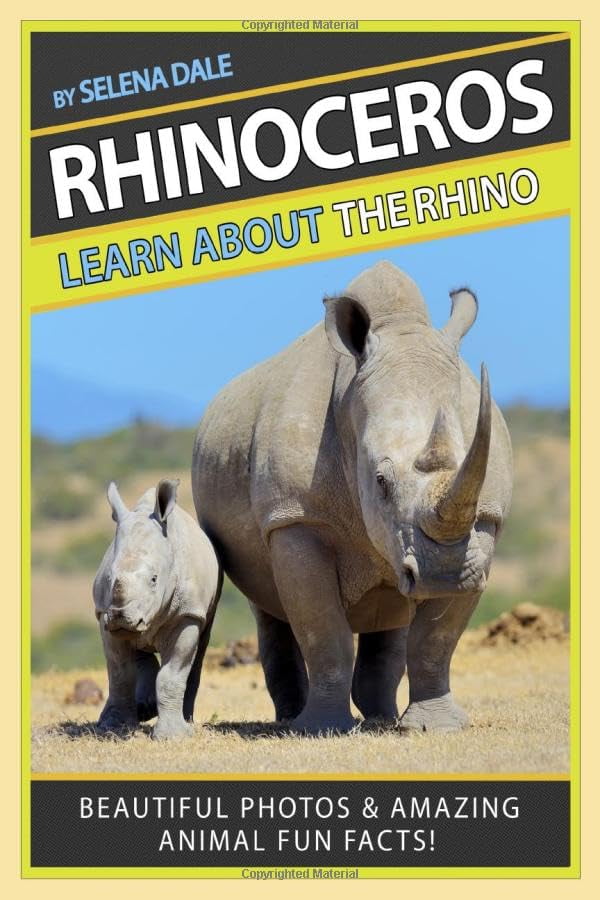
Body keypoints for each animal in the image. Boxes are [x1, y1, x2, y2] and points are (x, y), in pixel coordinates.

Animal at [93, 478, 221, 740]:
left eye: (154, 579)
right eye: (109, 578)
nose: (120, 617)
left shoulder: (187, 613)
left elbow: (172, 673)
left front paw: (173, 736)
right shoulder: (103, 614)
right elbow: (119, 673)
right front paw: (113, 727)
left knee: (198, 651)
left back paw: (185, 720)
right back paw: (142, 709)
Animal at [192, 261, 512, 734]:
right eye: (379, 481)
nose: (443, 574)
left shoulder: (484, 520)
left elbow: (435, 639)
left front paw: (436, 728)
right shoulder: (295, 517)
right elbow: (324, 631)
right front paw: (320, 729)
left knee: (393, 608)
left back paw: (382, 718)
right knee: (269, 606)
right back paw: (291, 721)